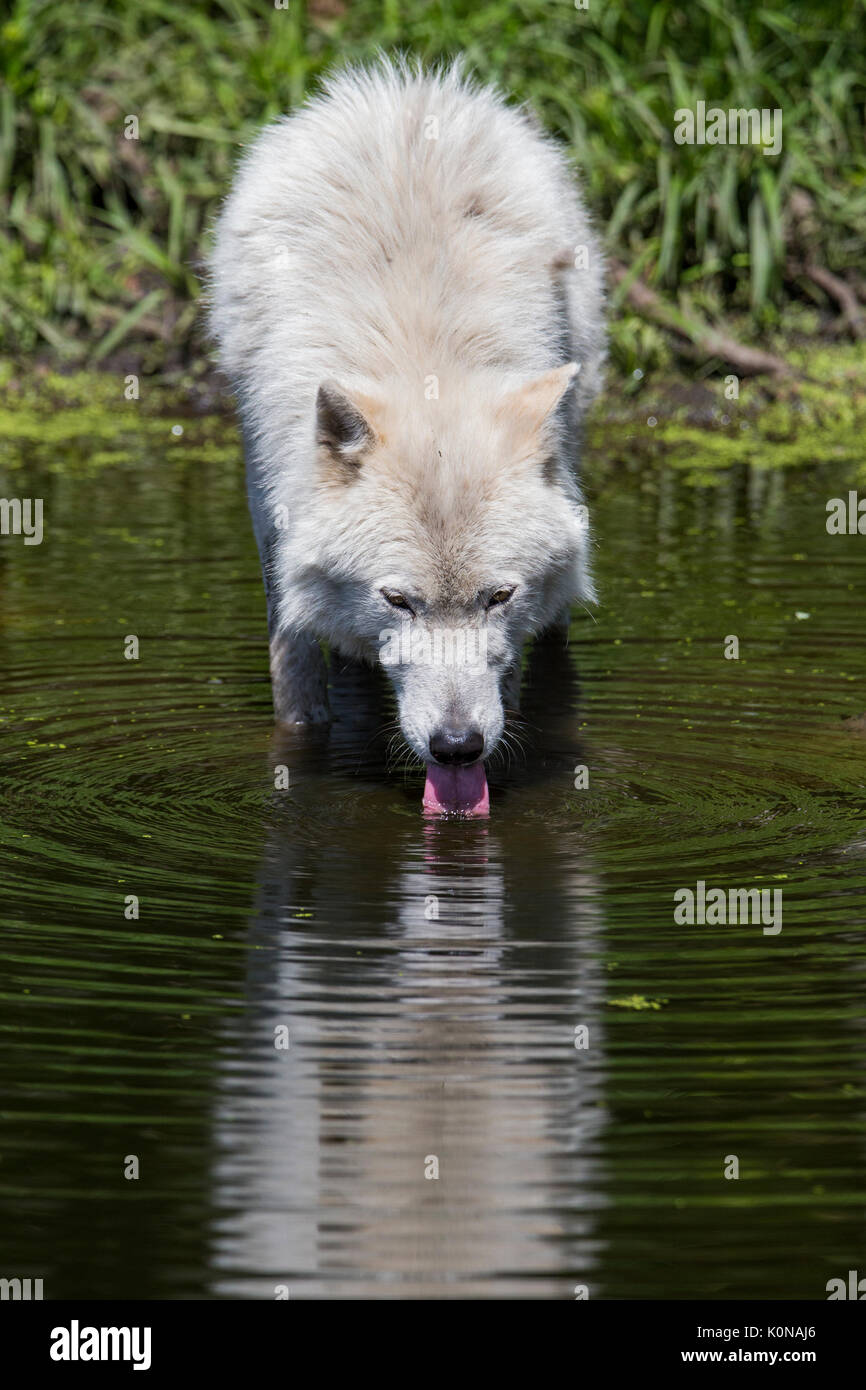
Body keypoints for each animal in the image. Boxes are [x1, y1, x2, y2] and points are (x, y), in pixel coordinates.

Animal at [208, 57, 605, 814]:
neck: (426, 357)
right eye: (398, 600)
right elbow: (296, 679)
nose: (457, 747)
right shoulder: (272, 526)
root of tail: (413, 83)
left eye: (497, 599)